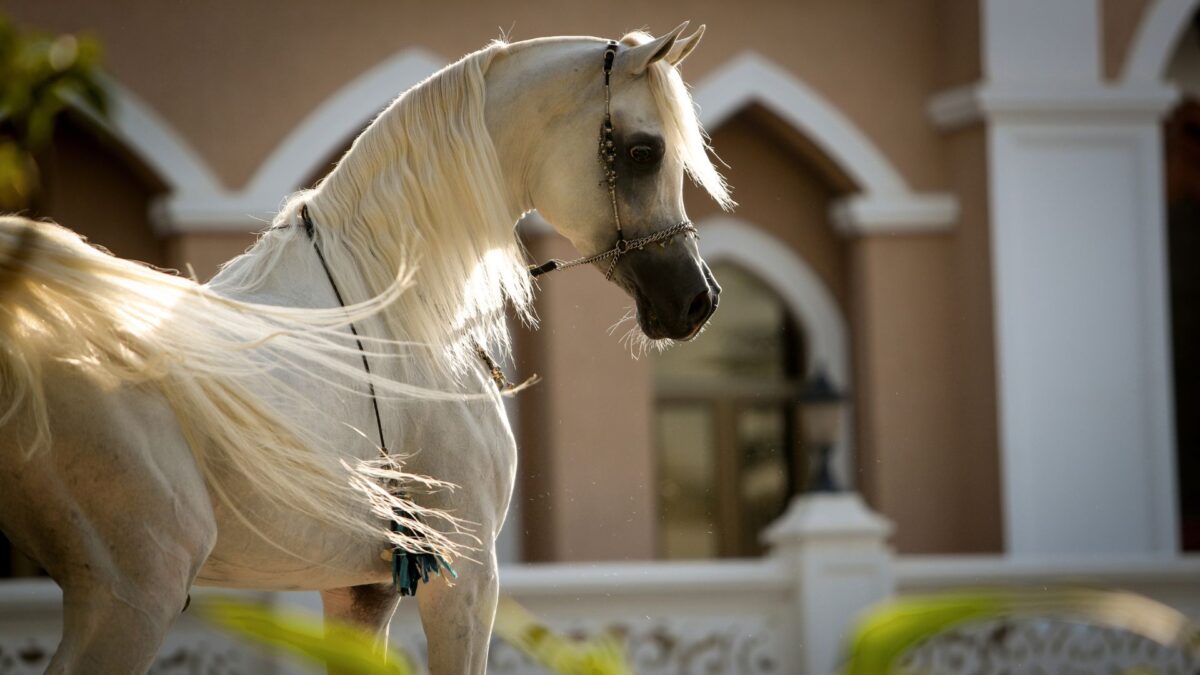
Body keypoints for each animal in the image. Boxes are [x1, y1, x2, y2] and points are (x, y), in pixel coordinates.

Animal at [0, 22, 731, 674]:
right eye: (644, 151)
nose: (698, 300)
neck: (393, 310)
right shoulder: (468, 581)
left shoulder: (361, 591)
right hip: (133, 595)